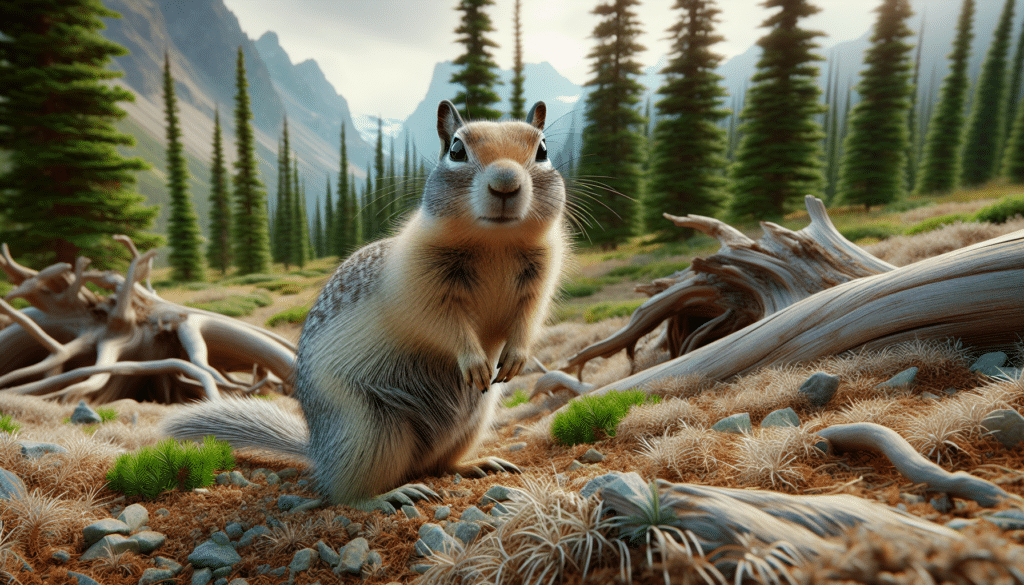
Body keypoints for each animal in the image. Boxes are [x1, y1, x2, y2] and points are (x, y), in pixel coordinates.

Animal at [163, 100, 567, 509]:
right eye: (456, 150)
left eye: (543, 149)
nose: (506, 184)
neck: (495, 244)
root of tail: (318, 450)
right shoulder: (420, 287)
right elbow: (442, 324)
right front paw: (473, 360)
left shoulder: (541, 280)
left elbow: (529, 318)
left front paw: (516, 356)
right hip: (368, 428)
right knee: (344, 492)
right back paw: (388, 495)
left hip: (474, 417)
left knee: (440, 464)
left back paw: (477, 464)